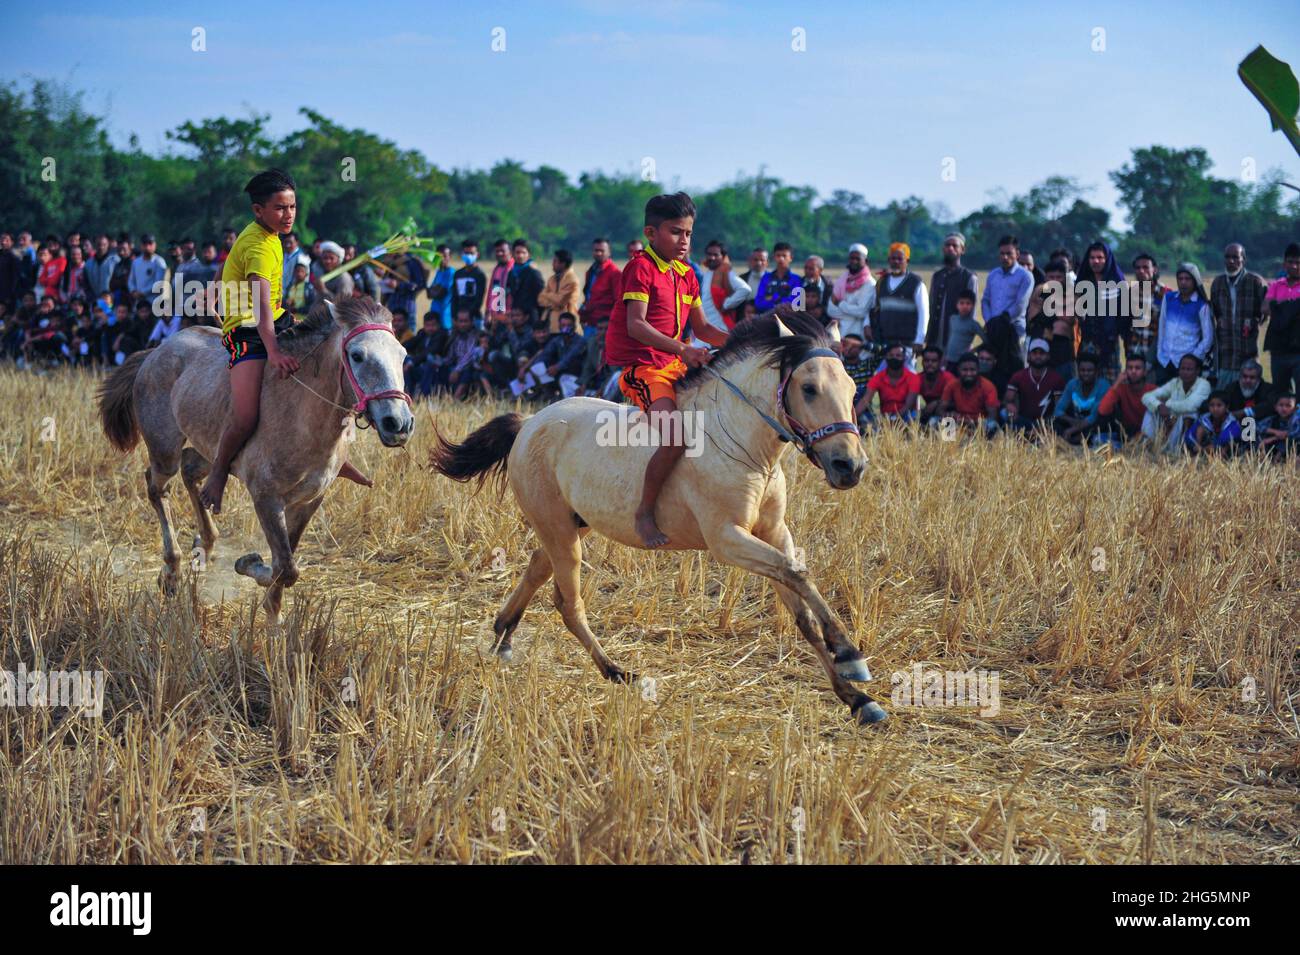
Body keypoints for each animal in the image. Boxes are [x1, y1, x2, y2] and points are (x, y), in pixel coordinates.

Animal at [98, 296, 414, 625]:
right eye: (357, 355)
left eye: (402, 355)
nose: (398, 423)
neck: (305, 415)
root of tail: (157, 351)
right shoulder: (266, 497)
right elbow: (285, 567)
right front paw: (248, 564)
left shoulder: (309, 500)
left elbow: (286, 561)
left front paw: (273, 614)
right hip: (164, 448)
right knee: (157, 486)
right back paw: (171, 572)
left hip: (209, 450)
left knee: (191, 472)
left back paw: (204, 542)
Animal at [430, 311, 889, 725]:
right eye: (809, 388)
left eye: (853, 388)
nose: (850, 466)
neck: (745, 445)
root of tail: (529, 423)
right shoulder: (727, 539)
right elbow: (796, 573)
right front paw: (850, 655)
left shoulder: (773, 533)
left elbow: (801, 604)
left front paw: (856, 698)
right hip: (559, 530)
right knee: (569, 603)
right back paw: (616, 671)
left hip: (569, 525)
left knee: (538, 569)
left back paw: (504, 635)